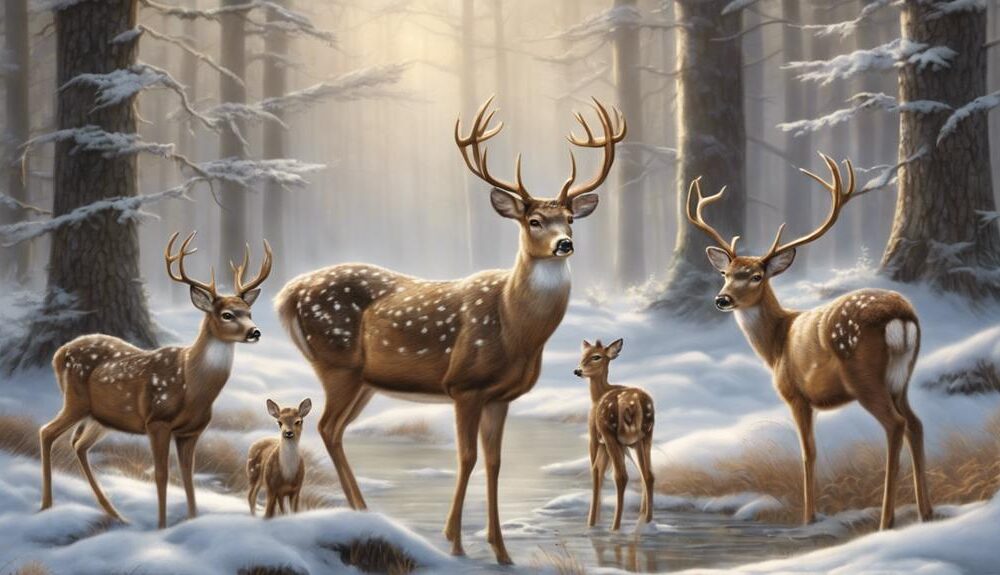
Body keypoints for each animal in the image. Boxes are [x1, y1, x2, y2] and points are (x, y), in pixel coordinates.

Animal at [39, 231, 272, 528]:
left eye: (249, 313)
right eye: (227, 314)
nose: (255, 332)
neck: (192, 387)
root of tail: (59, 354)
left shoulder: (191, 431)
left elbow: (187, 477)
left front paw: (192, 518)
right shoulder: (157, 421)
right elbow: (162, 475)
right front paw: (161, 526)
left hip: (101, 417)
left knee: (78, 444)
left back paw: (115, 513)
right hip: (75, 401)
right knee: (47, 432)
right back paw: (46, 505)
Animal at [274, 96, 625, 564]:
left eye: (570, 218)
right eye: (533, 220)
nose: (564, 244)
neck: (515, 327)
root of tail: (287, 294)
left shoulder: (500, 396)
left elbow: (494, 462)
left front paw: (501, 550)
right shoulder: (463, 384)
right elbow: (466, 457)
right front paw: (455, 541)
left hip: (363, 381)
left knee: (335, 429)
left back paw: (366, 512)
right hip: (337, 364)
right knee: (328, 426)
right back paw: (364, 513)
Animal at [573, 338, 655, 531]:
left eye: (596, 356)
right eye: (582, 355)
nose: (577, 370)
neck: (598, 396)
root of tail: (632, 405)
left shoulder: (595, 437)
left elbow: (596, 471)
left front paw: (592, 522)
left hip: (609, 432)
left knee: (621, 476)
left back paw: (615, 527)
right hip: (645, 435)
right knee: (648, 475)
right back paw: (647, 522)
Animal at [686, 153, 932, 530]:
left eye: (755, 276)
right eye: (726, 274)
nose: (722, 299)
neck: (775, 345)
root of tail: (902, 317)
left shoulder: (796, 393)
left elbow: (808, 452)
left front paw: (808, 518)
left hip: (864, 377)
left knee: (895, 425)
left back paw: (886, 521)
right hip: (902, 378)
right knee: (916, 424)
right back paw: (925, 514)